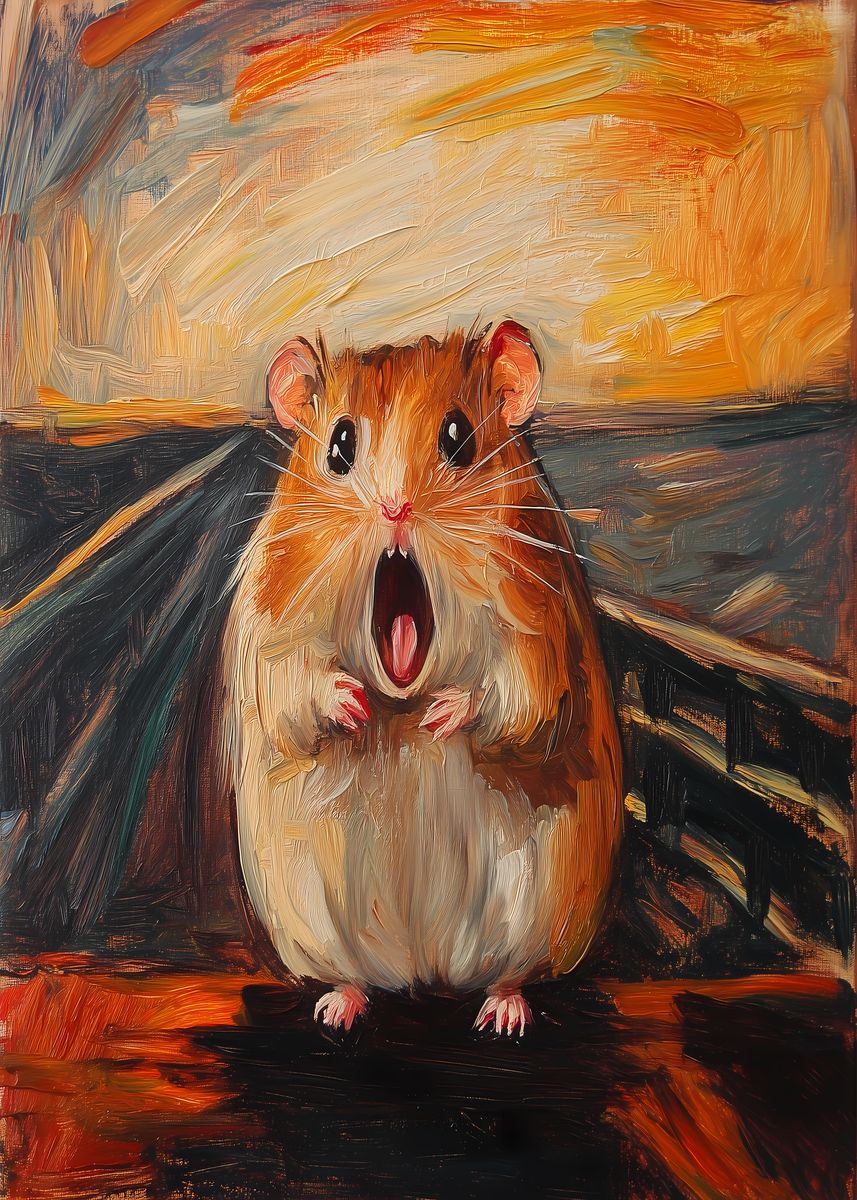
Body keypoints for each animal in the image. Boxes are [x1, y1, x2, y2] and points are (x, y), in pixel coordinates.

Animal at [221, 321, 623, 1036]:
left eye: (459, 436)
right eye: (339, 444)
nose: (395, 508)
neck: (401, 700)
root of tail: (425, 970)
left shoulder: (543, 635)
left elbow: (516, 704)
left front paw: (441, 716)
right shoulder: (269, 628)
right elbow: (294, 687)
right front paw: (353, 705)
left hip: (543, 917)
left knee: (510, 974)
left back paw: (503, 1015)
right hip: (310, 918)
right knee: (355, 976)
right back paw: (339, 1009)